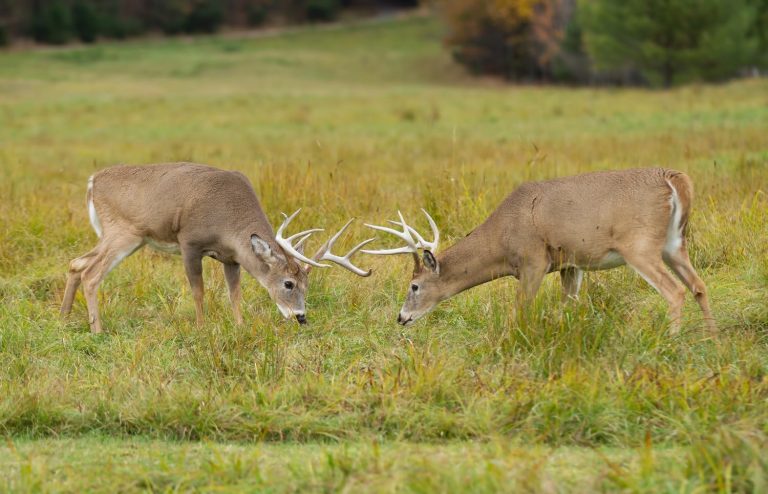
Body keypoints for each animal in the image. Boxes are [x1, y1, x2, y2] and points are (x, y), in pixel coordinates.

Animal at [60, 163, 374, 333]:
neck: (227, 218)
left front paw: (240, 326)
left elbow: (234, 294)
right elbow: (198, 291)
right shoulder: (189, 242)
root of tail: (92, 181)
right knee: (91, 273)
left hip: (126, 238)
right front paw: (201, 328)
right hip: (123, 232)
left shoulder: (231, 258)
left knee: (76, 263)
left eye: (307, 286)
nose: (301, 317)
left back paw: (63, 319)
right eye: (288, 283)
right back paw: (97, 329)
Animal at [362, 168, 716, 334]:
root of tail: (675, 179)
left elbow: (519, 311)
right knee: (699, 286)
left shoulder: (533, 261)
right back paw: (711, 339)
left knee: (675, 291)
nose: (401, 317)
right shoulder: (570, 264)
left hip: (640, 246)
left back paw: (671, 340)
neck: (503, 235)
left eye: (414, 286)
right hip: (675, 243)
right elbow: (568, 309)